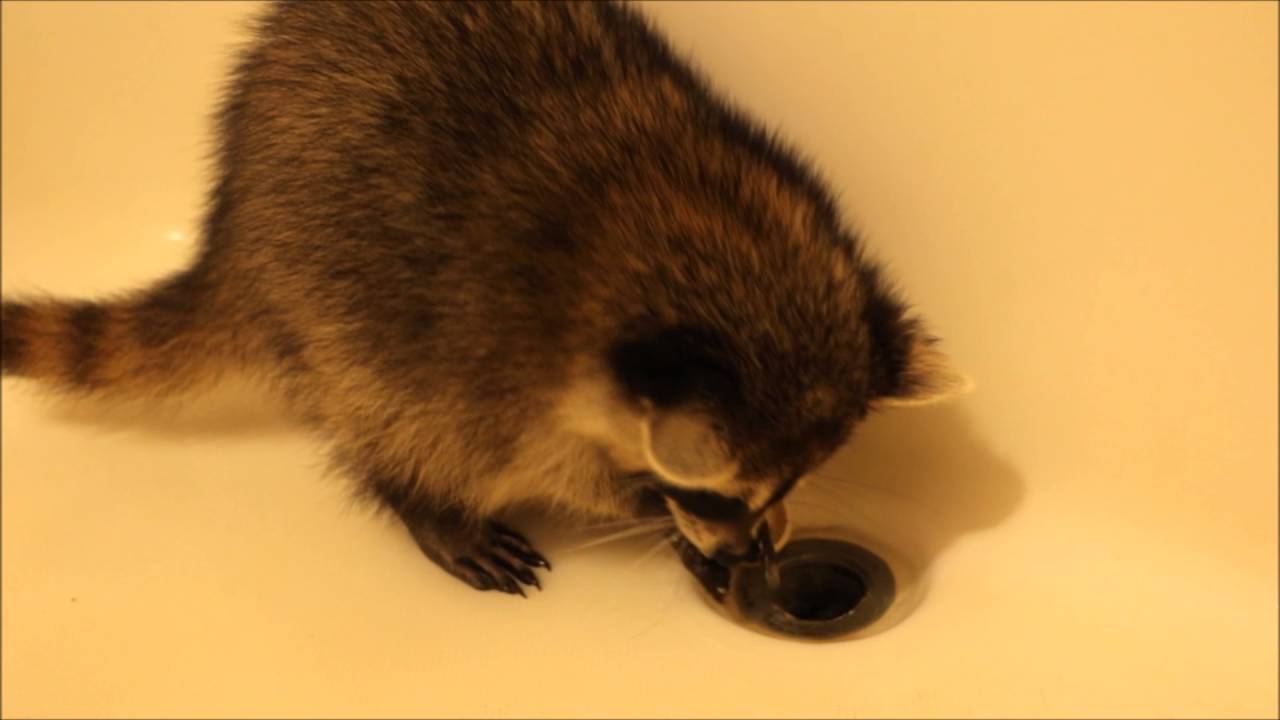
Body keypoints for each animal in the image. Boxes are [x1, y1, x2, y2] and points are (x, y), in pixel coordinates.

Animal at [0, 1, 967, 597]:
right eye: (719, 494)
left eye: (787, 482)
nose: (742, 548)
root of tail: (230, 231)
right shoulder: (494, 346)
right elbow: (536, 456)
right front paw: (648, 513)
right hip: (329, 293)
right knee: (390, 415)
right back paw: (424, 500)